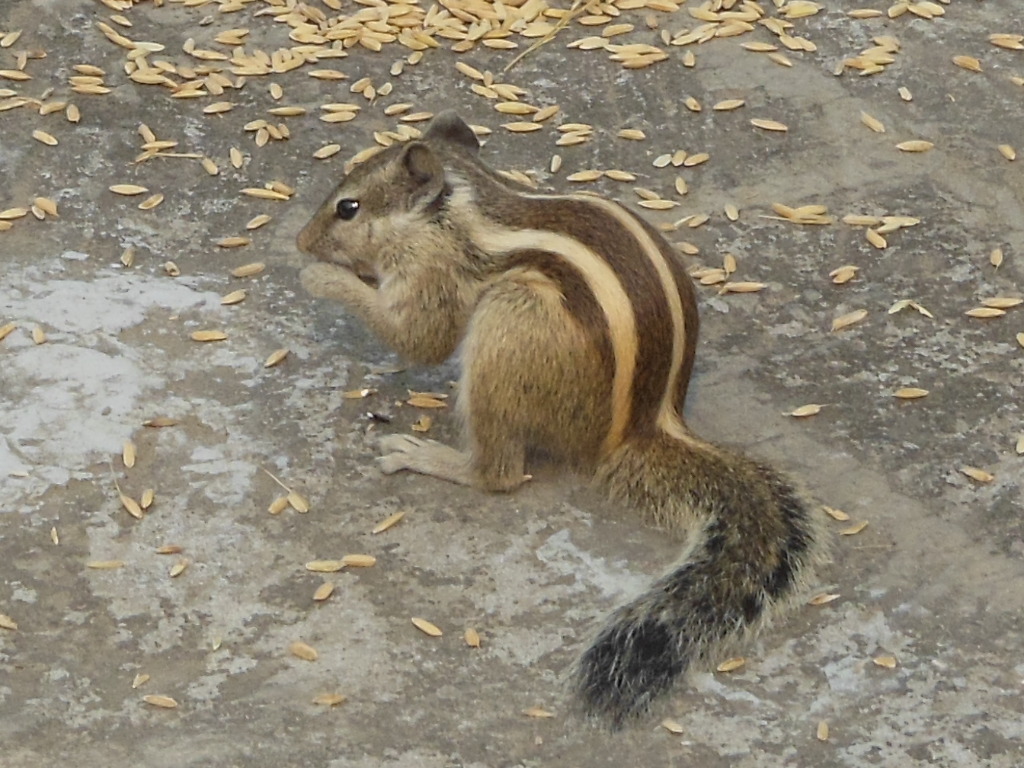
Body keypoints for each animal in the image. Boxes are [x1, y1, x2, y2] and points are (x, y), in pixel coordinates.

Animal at [297, 111, 826, 726]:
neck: (464, 205)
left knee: (499, 473)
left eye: (348, 207)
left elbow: (421, 338)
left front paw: (322, 278)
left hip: (508, 327)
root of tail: (637, 430)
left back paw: (426, 456)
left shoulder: (435, 272)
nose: (300, 240)